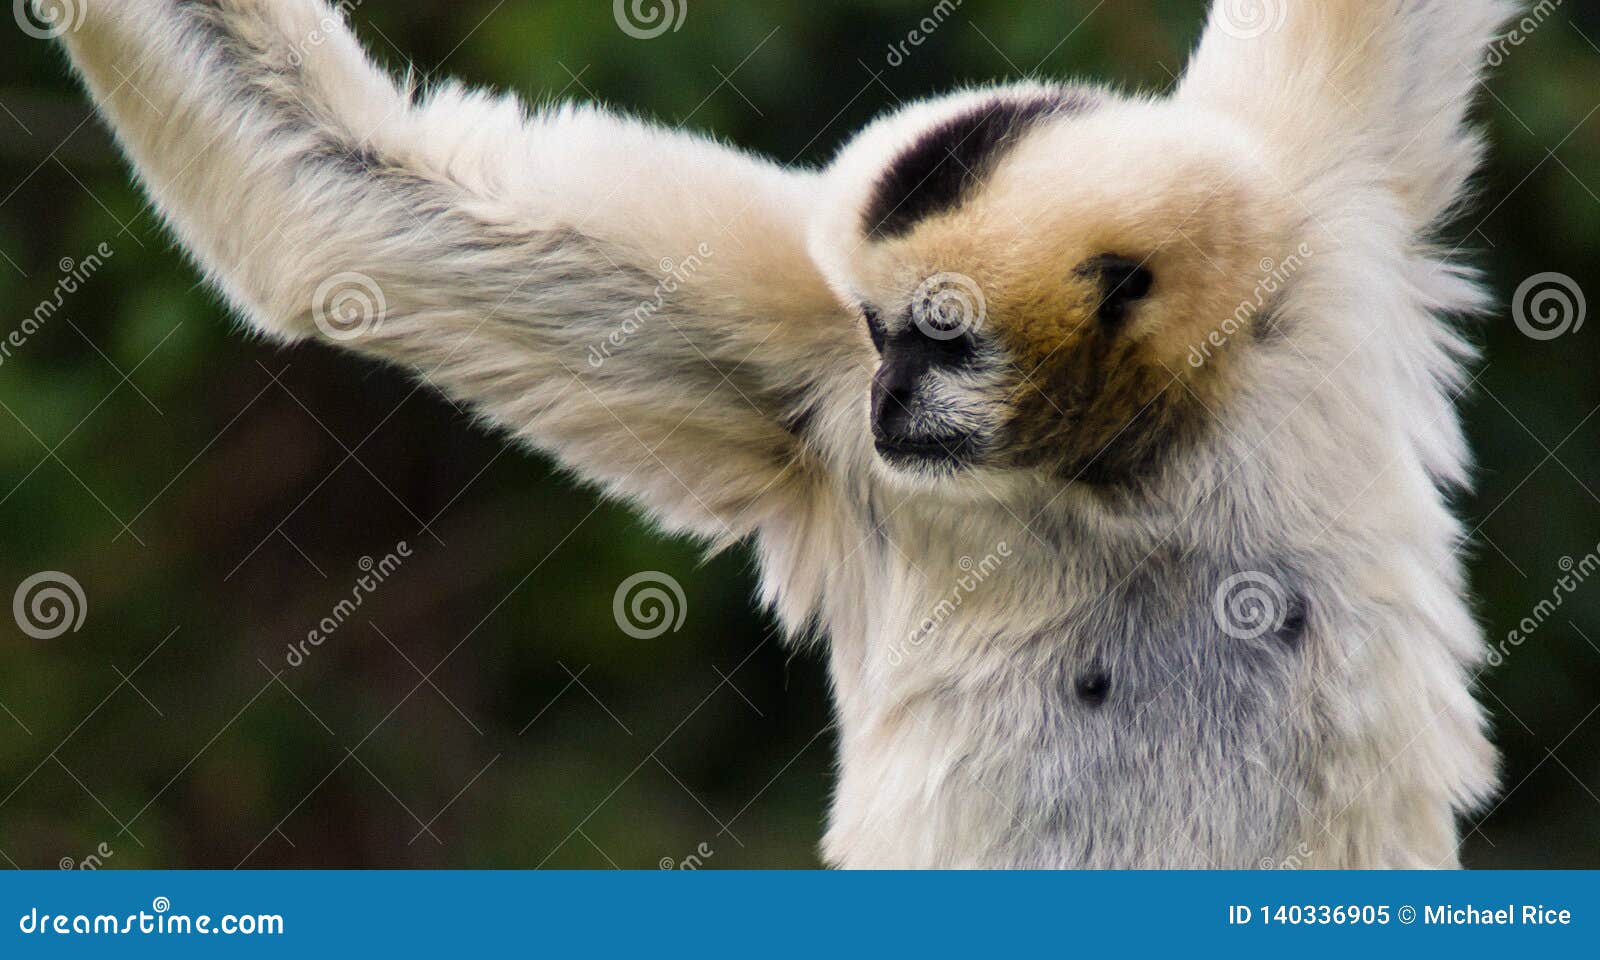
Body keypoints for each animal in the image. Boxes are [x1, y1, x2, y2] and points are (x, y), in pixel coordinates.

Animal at [53, 0, 1516, 867]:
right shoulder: (811, 372)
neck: (1126, 457)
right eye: (879, 336)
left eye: (941, 341)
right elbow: (340, 197)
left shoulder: (1315, 229)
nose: (885, 403)